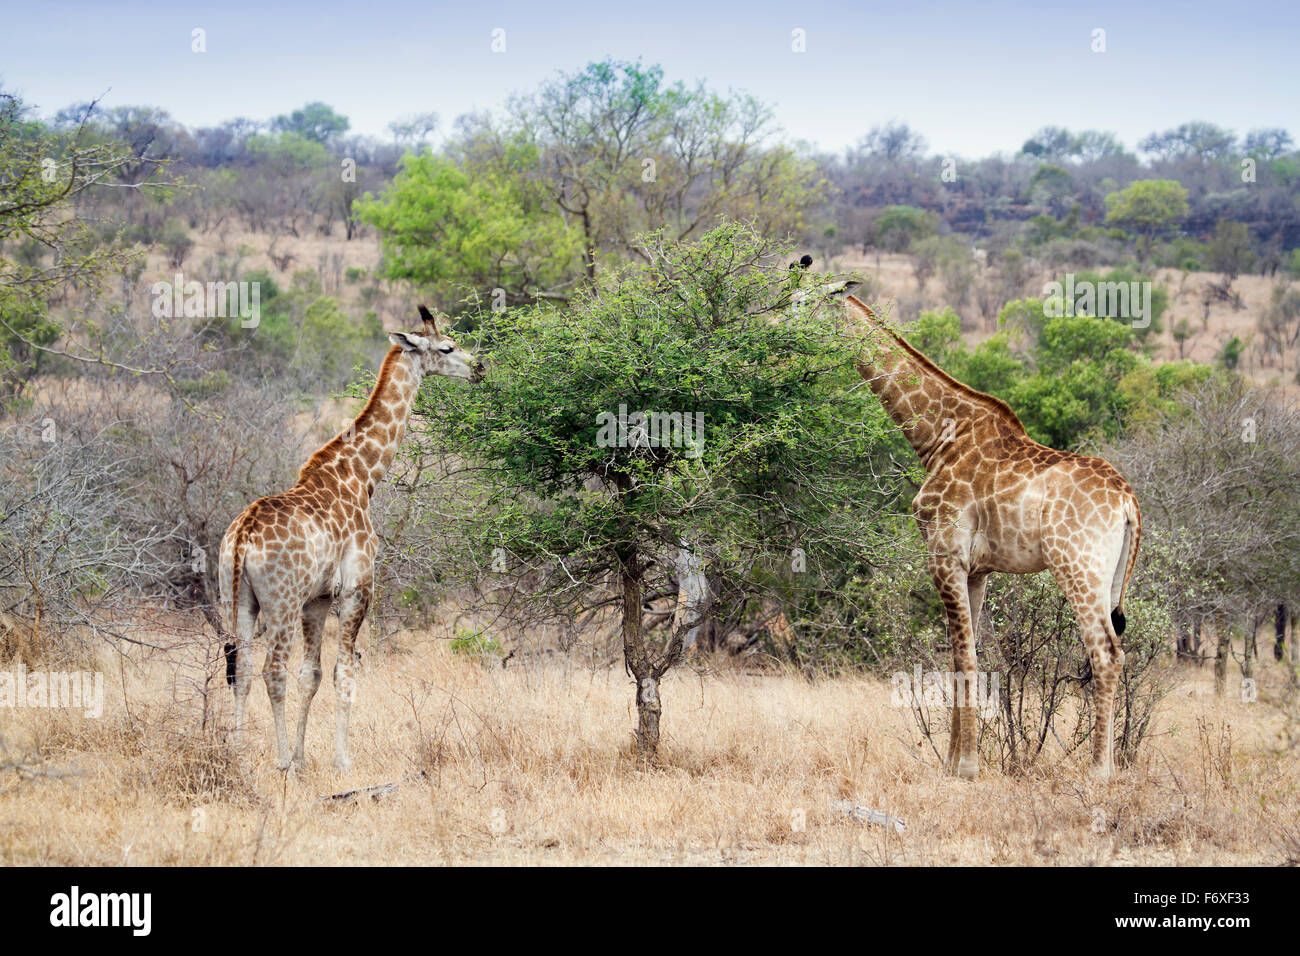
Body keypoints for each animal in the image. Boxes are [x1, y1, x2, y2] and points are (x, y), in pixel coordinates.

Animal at [218, 306, 481, 771]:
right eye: (448, 347)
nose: (481, 368)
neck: (361, 476)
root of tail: (242, 538)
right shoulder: (358, 588)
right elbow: (344, 672)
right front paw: (340, 761)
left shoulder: (319, 598)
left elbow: (312, 675)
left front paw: (305, 757)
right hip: (281, 601)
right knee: (271, 669)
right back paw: (279, 761)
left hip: (237, 598)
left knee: (242, 667)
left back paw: (239, 751)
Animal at [838, 291, 1140, 780]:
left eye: (803, 299)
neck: (936, 438)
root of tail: (1129, 502)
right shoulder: (977, 569)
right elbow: (962, 654)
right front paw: (952, 762)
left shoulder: (944, 553)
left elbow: (965, 656)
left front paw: (967, 766)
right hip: (1110, 577)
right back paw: (1109, 765)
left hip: (1078, 567)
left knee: (1106, 653)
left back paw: (1098, 772)